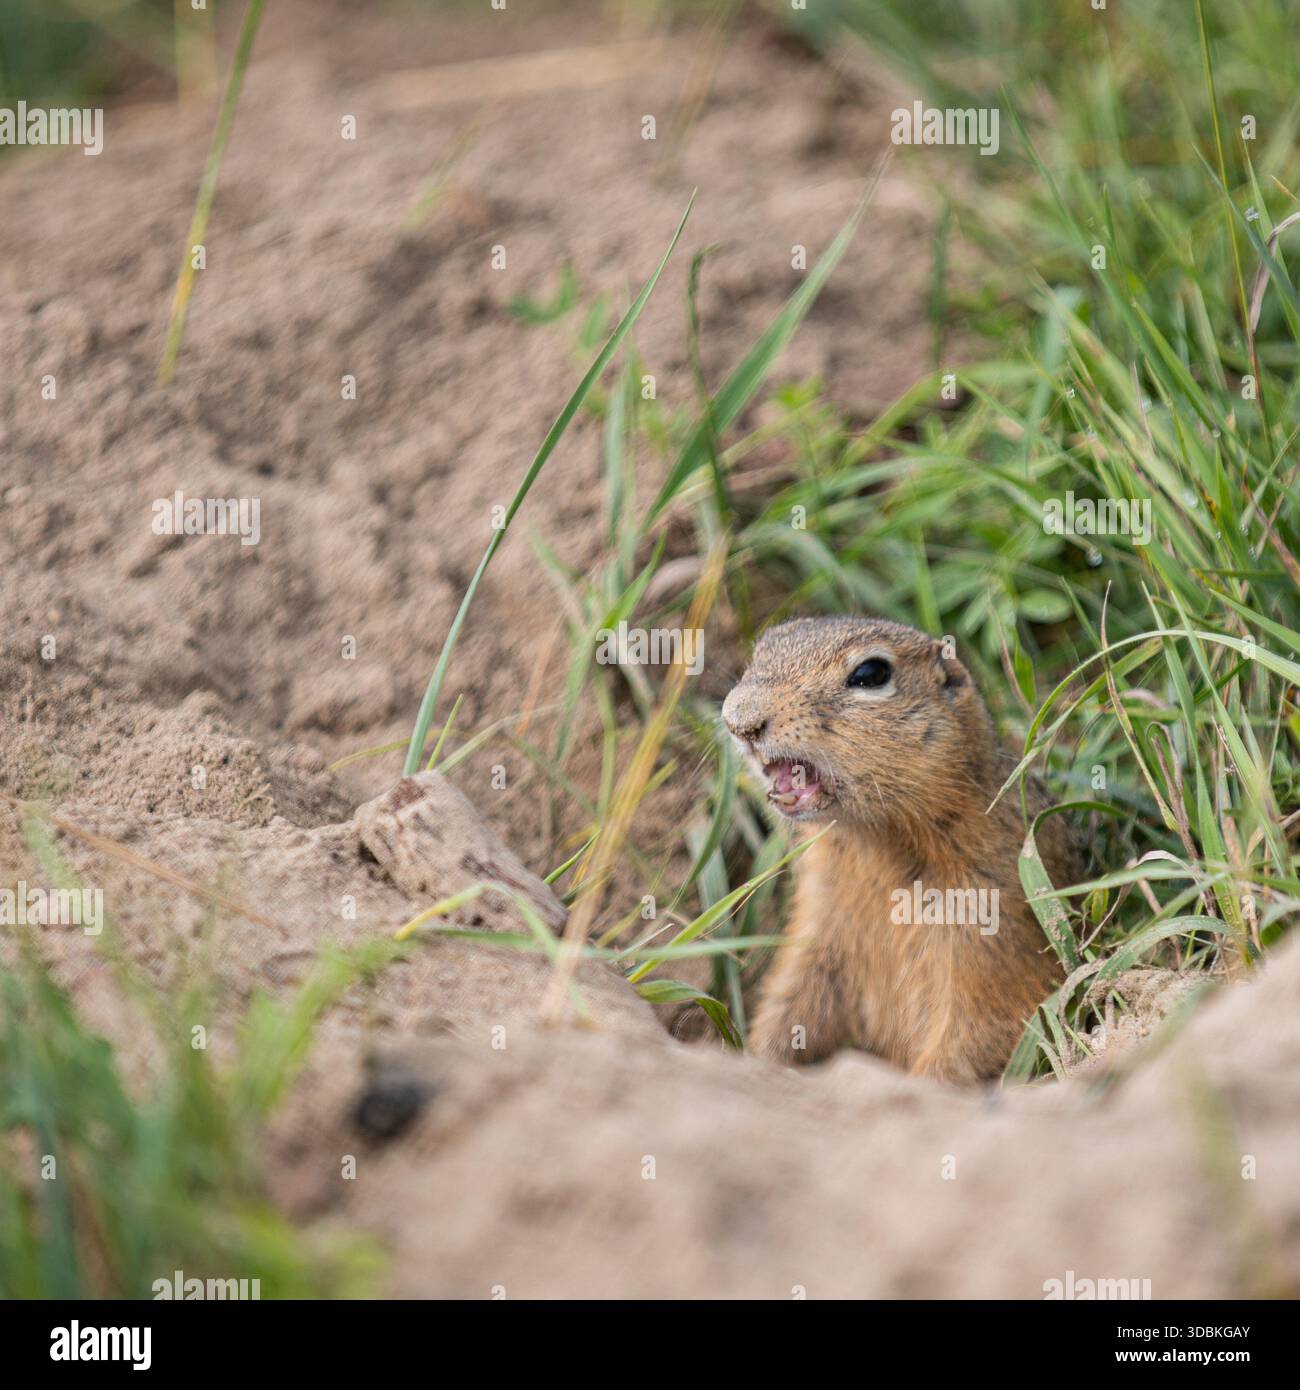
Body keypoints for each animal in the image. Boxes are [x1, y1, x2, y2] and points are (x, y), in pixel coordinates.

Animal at [721, 616, 1081, 1083]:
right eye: (763, 648)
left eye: (871, 673)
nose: (738, 719)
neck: (877, 843)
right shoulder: (817, 930)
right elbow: (790, 1003)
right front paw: (758, 1060)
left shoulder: (992, 928)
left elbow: (980, 1027)